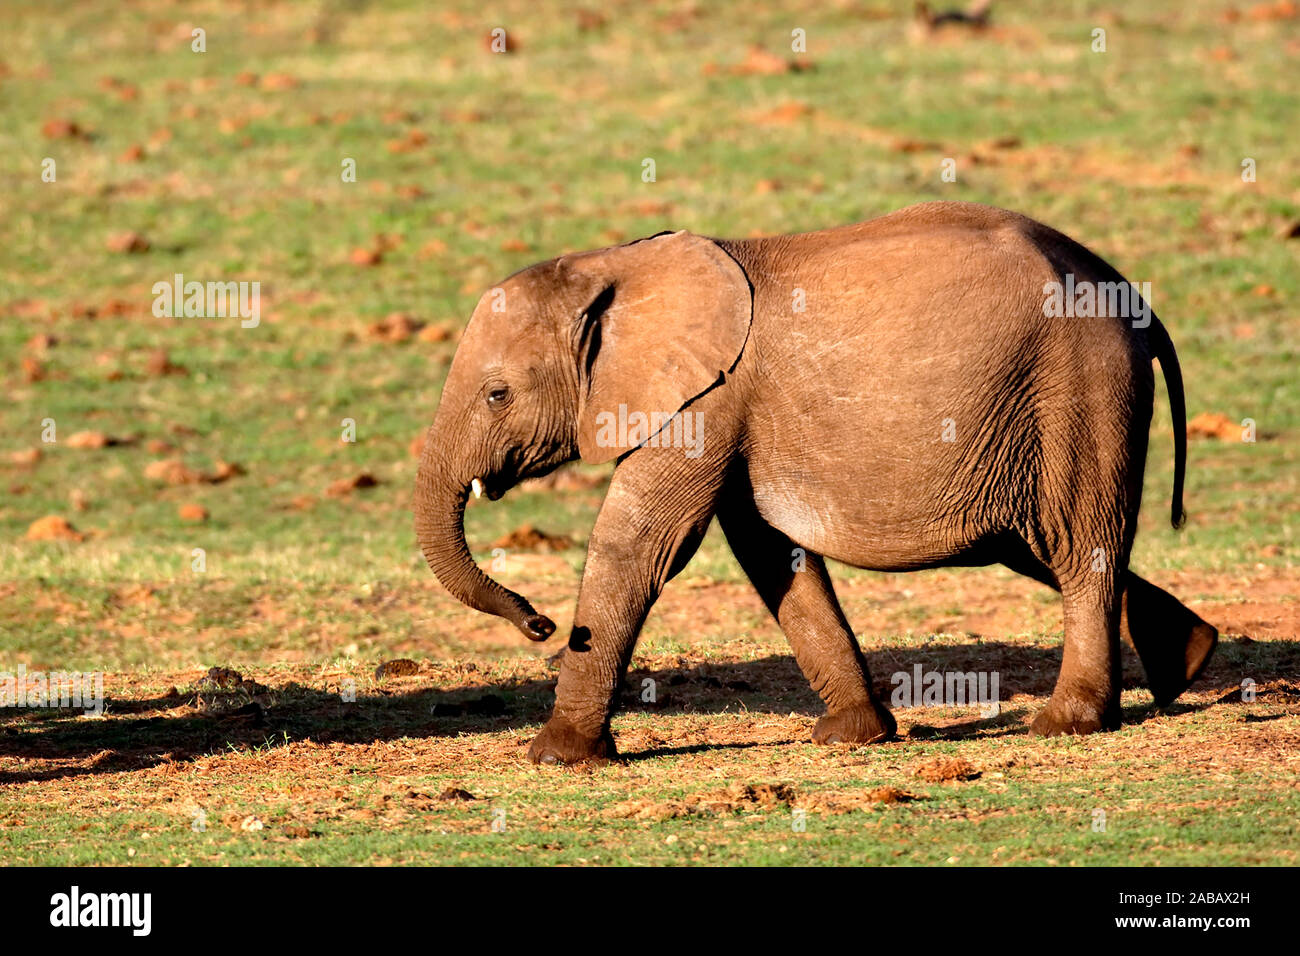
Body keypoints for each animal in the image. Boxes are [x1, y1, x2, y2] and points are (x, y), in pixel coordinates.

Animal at [413, 200, 1218, 765]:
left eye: (497, 395)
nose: (542, 624)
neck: (615, 266)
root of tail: (1133, 297)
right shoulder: (729, 410)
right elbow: (773, 555)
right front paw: (852, 736)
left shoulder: (706, 399)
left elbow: (640, 545)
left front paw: (555, 756)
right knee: (1040, 544)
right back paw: (1191, 660)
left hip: (1079, 388)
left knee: (1076, 545)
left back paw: (1065, 724)